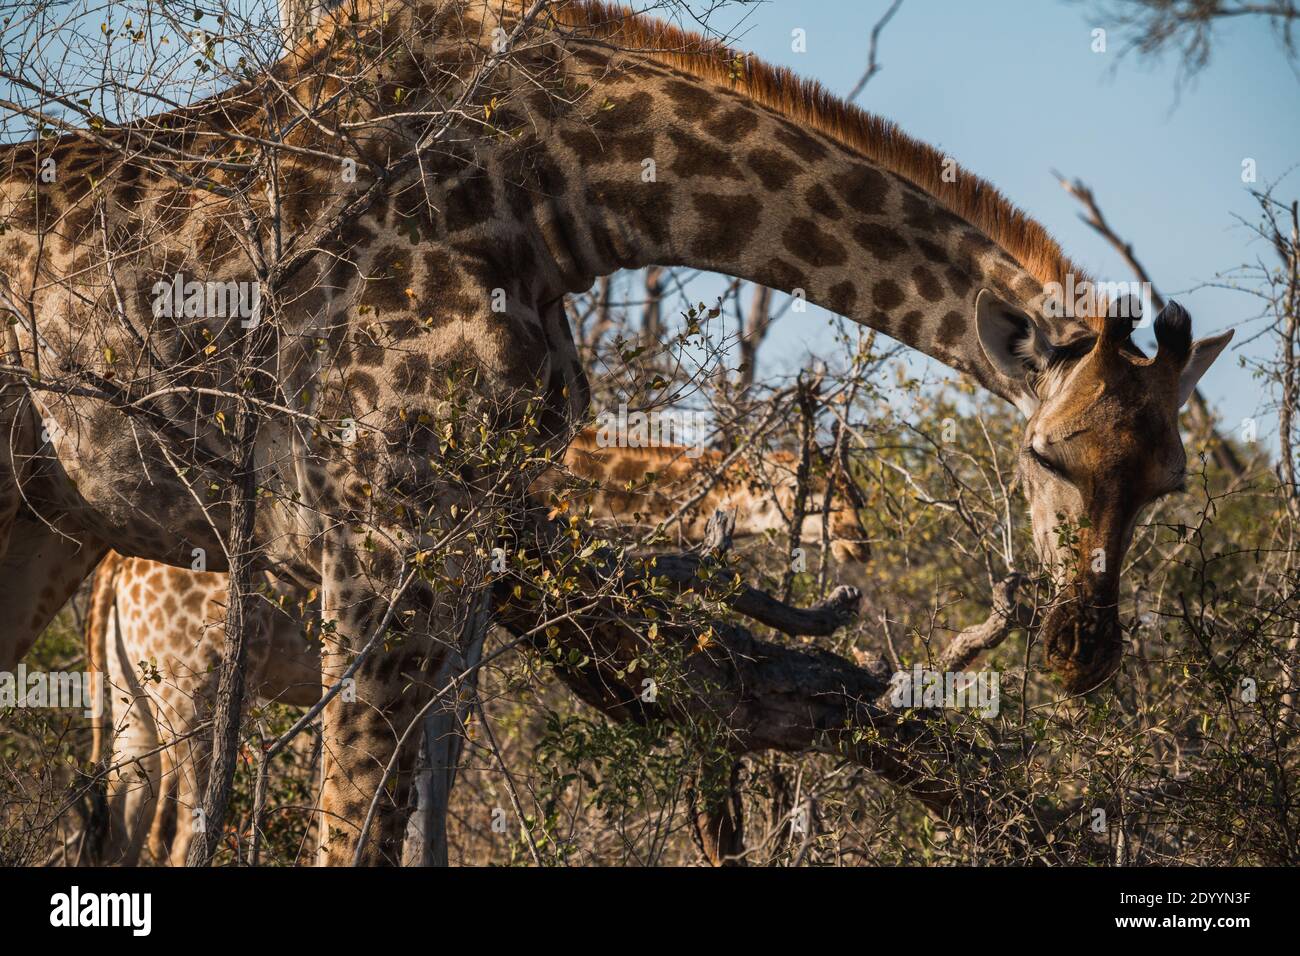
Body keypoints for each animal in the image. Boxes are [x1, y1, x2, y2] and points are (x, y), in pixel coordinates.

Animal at [86, 428, 868, 865]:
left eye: (856, 491)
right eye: (818, 497)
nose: (861, 545)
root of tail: (114, 574)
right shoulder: (458, 656)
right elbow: (425, 808)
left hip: (133, 702)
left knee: (116, 827)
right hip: (193, 686)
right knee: (174, 837)